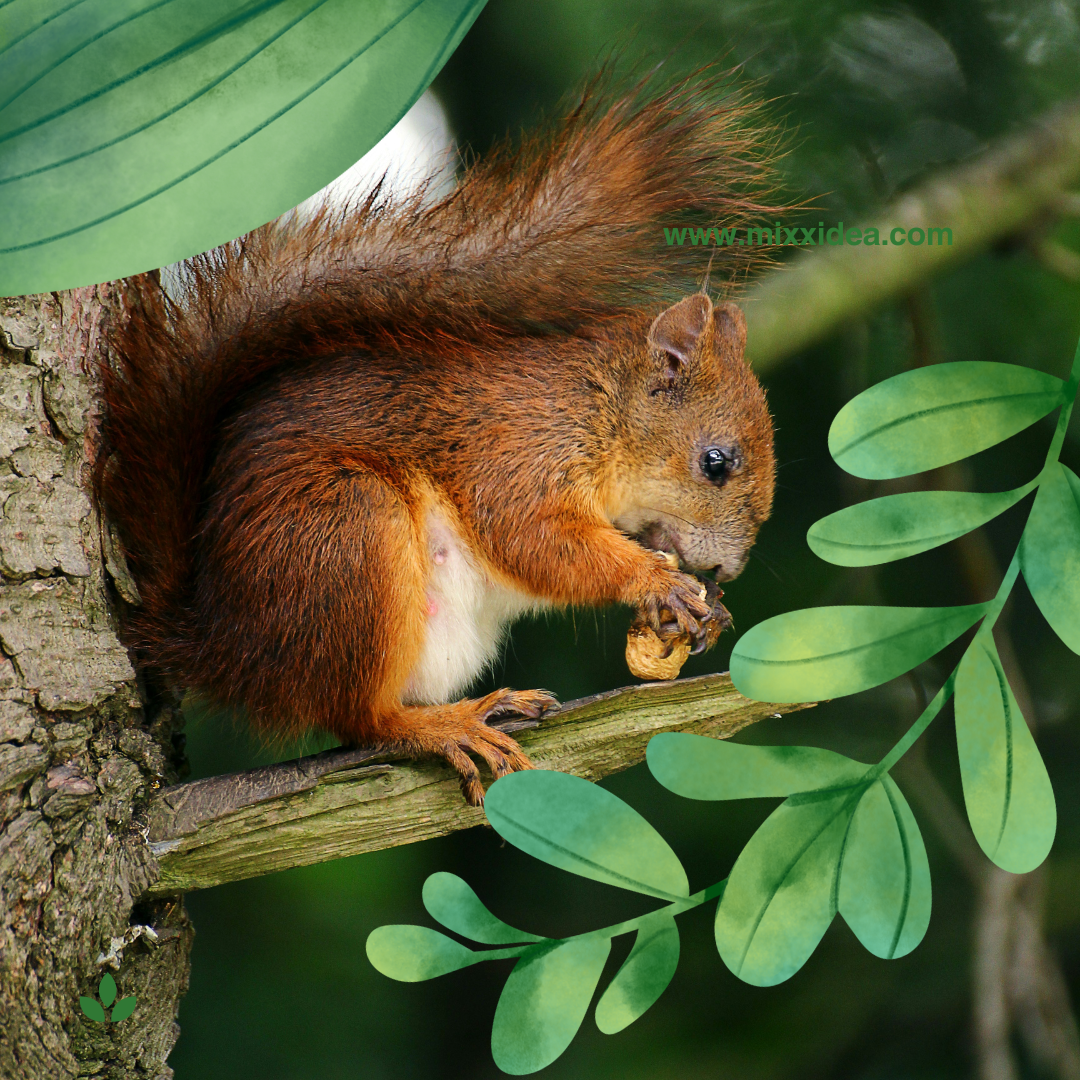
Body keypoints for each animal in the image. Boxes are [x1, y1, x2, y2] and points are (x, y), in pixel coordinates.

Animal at [96, 72, 781, 805]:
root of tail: (222, 647)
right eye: (715, 462)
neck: (597, 406)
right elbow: (531, 537)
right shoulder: (516, 449)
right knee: (361, 718)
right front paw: (655, 580)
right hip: (346, 536)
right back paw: (447, 724)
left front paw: (706, 609)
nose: (729, 570)